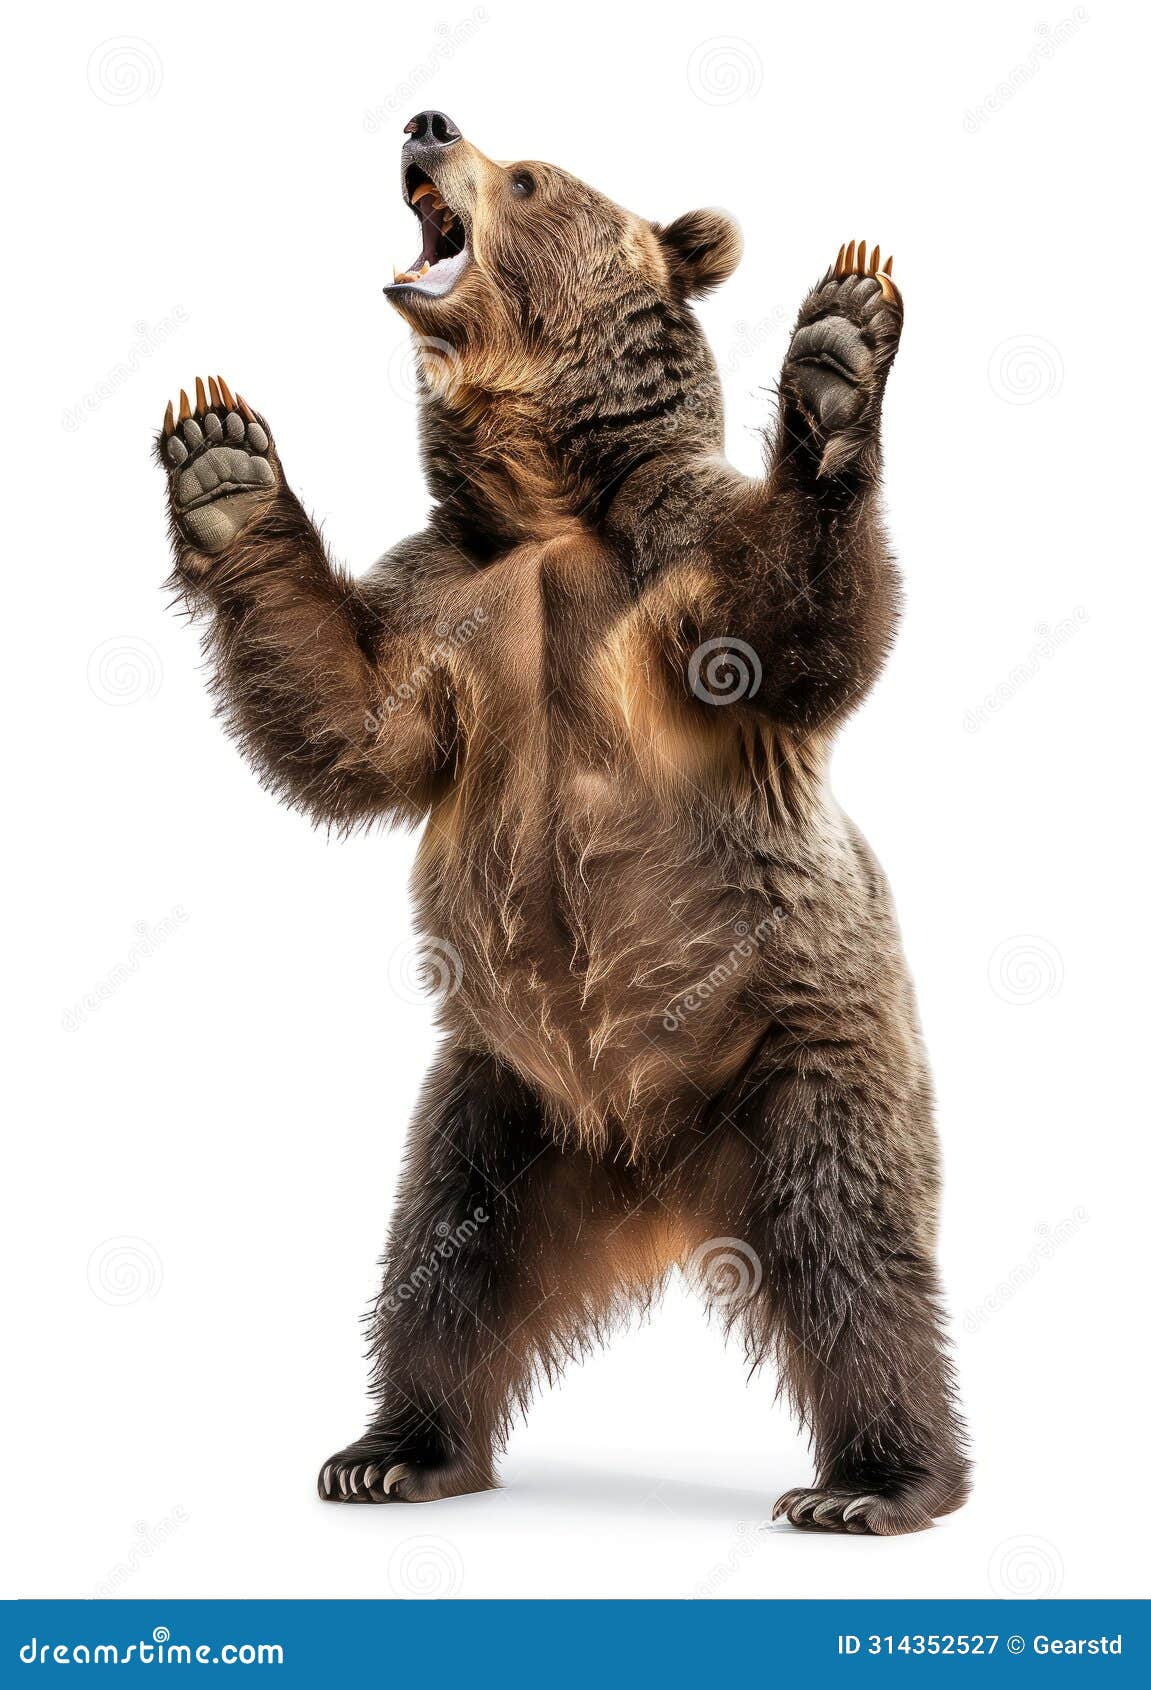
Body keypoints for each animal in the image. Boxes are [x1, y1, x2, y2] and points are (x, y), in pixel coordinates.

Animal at [156, 110, 970, 1535]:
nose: (427, 121)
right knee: (440, 1262)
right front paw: (222, 464)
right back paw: (391, 1447)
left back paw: (875, 1480)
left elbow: (797, 632)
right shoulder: (447, 608)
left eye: (529, 174)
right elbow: (346, 722)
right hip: (499, 1103)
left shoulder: (673, 574)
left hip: (800, 1052)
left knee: (850, 1247)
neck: (550, 510)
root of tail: (653, 1179)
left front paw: (832, 364)